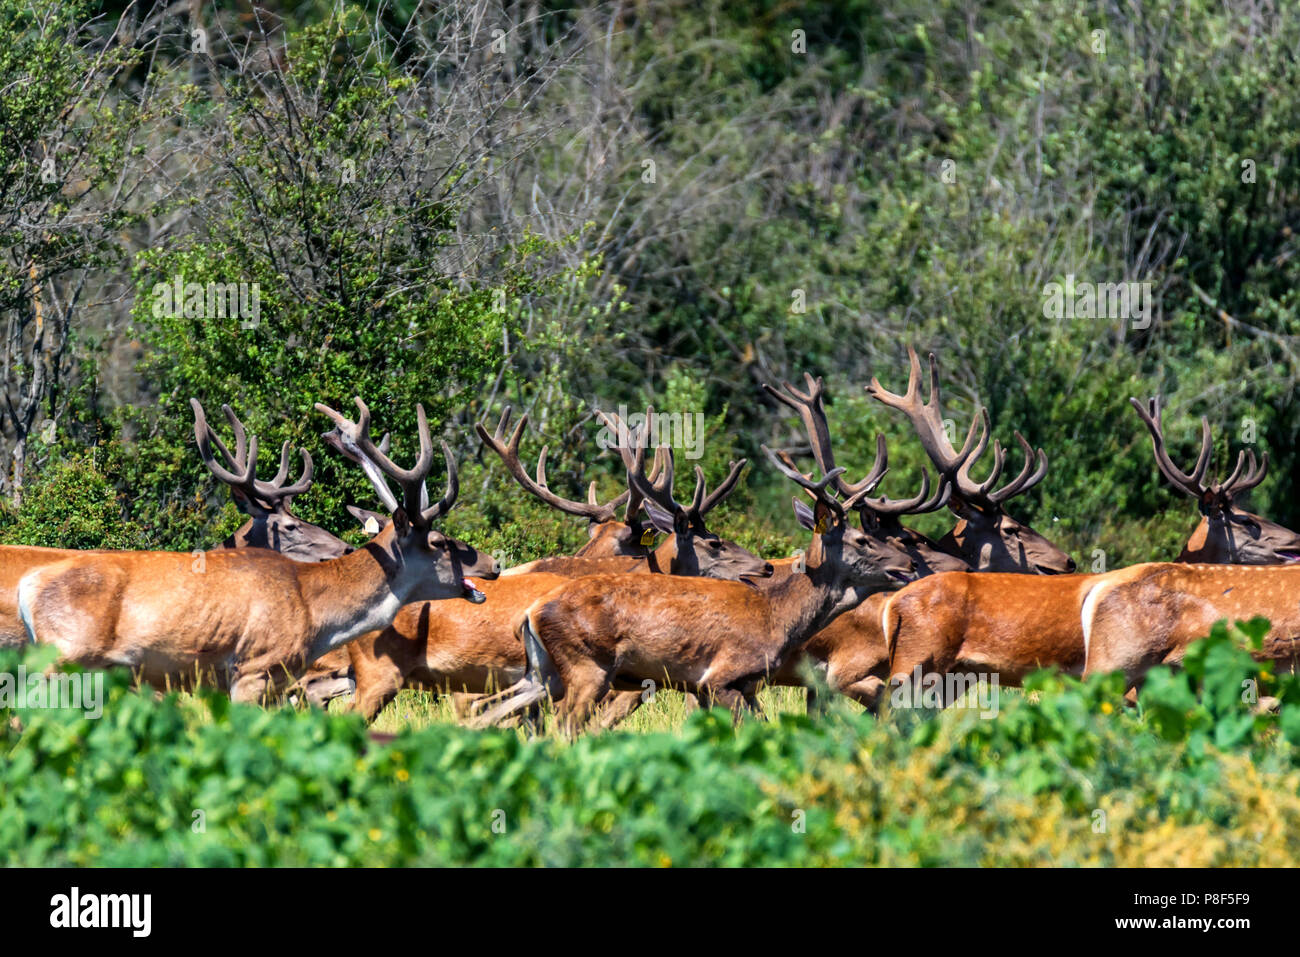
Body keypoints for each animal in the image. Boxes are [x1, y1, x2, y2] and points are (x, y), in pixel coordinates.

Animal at [15, 396, 499, 704]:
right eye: (438, 542)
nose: (493, 564)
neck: (316, 615)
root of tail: (27, 587)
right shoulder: (253, 669)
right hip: (63, 659)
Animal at [470, 419, 918, 735]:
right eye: (862, 540)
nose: (909, 565)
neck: (778, 616)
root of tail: (532, 612)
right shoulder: (721, 677)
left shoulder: (726, 686)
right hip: (587, 667)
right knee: (562, 726)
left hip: (541, 672)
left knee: (486, 709)